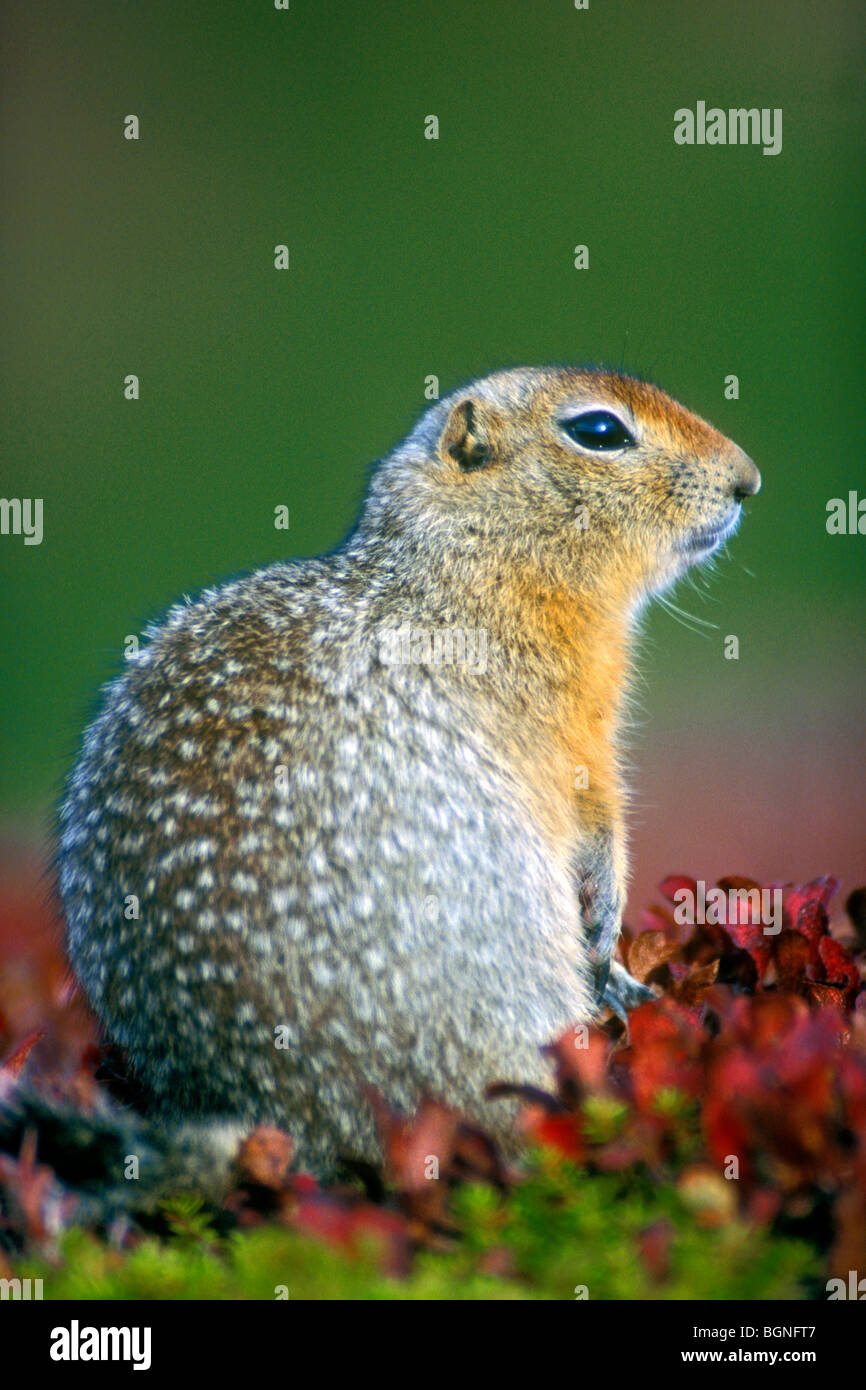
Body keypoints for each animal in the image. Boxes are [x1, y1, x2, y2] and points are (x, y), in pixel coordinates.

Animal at [4, 365, 760, 1211]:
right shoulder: (572, 739)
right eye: (598, 432)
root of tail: (281, 1120)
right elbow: (595, 822)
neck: (469, 564)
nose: (748, 481)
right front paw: (608, 922)